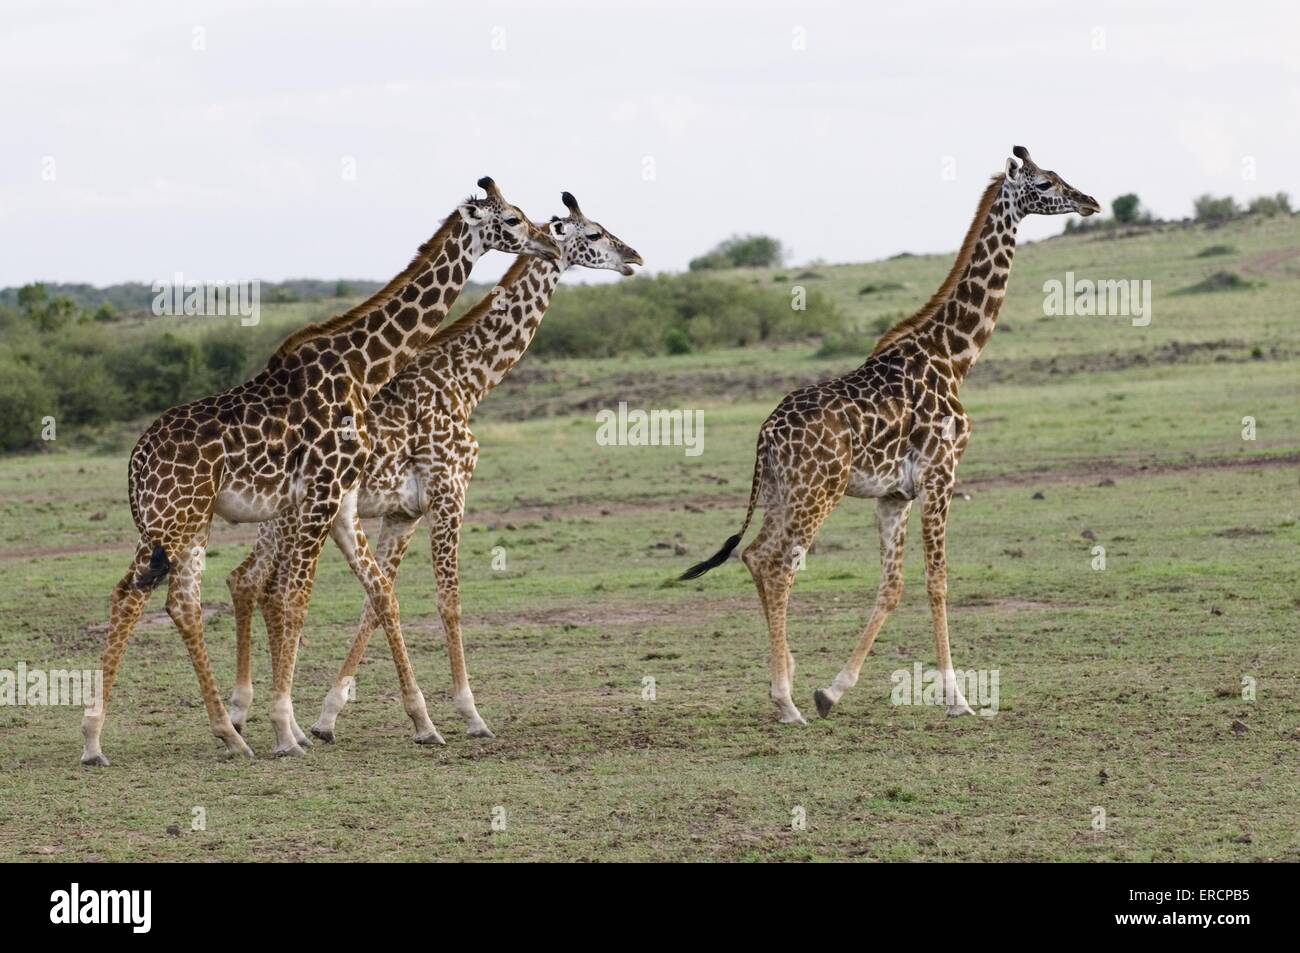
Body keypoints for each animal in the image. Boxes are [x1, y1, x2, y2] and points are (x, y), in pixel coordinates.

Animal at [81, 178, 560, 765]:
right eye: (511, 219)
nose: (547, 242)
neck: (360, 368)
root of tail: (134, 461)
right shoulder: (327, 492)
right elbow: (295, 599)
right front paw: (288, 732)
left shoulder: (330, 501)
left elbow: (341, 595)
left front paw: (314, 725)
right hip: (178, 519)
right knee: (145, 595)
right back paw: (107, 739)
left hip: (179, 523)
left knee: (171, 600)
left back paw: (217, 734)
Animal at [223, 191, 641, 743]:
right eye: (593, 233)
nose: (634, 257)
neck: (466, 382)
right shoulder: (449, 492)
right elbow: (447, 600)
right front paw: (469, 714)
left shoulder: (404, 511)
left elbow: (375, 602)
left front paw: (329, 715)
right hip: (299, 513)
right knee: (265, 586)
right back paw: (255, 714)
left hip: (287, 515)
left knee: (249, 580)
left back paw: (251, 715)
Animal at [681, 147, 1099, 724]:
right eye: (1045, 183)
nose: (1090, 201)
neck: (955, 356)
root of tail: (766, 434)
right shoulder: (942, 474)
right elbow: (937, 581)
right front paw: (957, 699)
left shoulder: (894, 495)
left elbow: (892, 586)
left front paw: (833, 690)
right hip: (819, 492)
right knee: (777, 563)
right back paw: (785, 700)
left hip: (785, 492)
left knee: (754, 556)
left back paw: (789, 679)